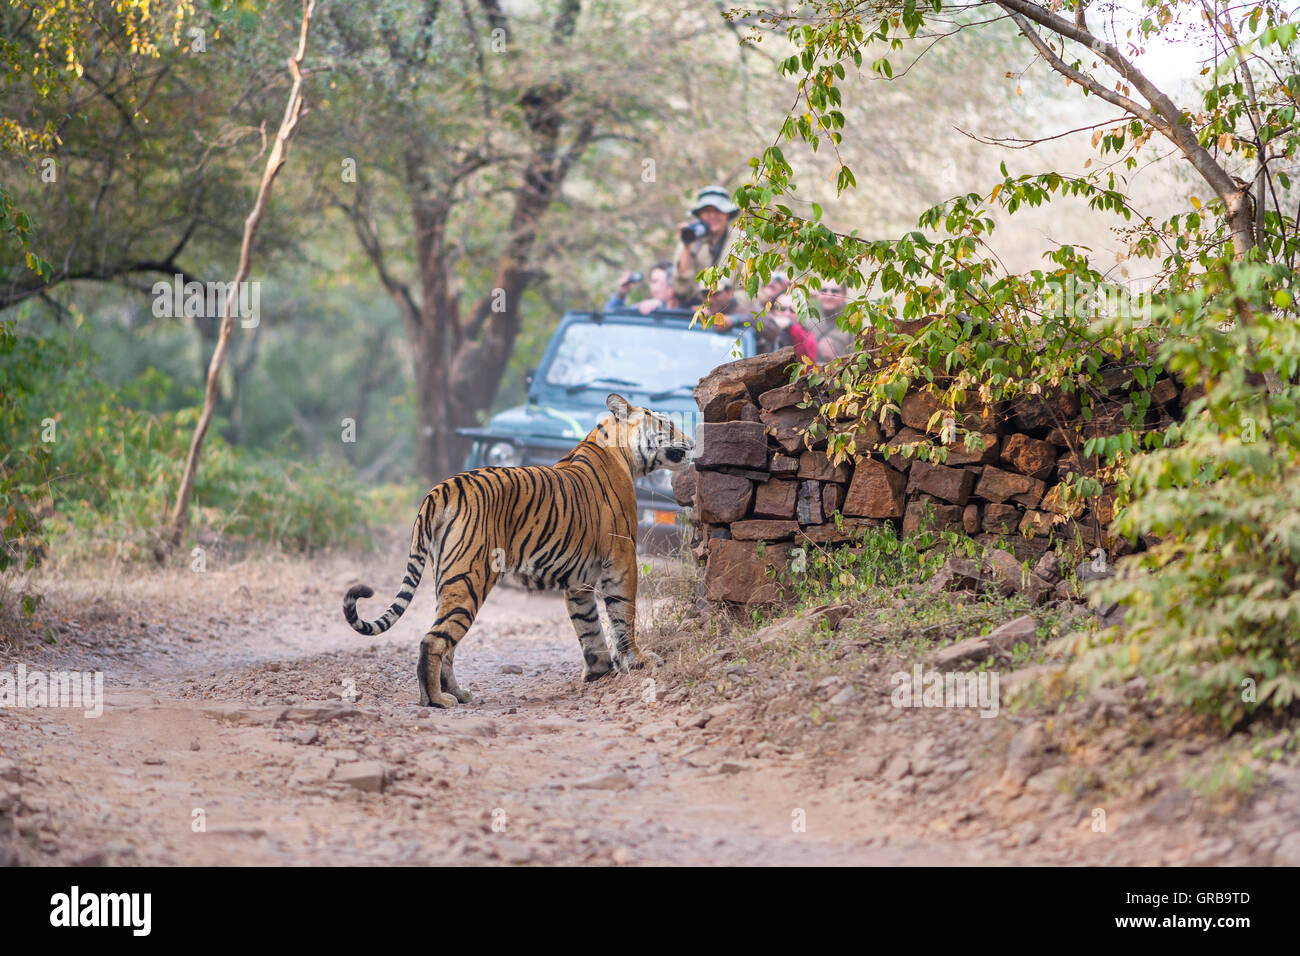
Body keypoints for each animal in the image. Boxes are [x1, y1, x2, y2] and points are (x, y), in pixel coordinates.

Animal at [342, 393, 695, 708]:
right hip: (469, 578)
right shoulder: (622, 559)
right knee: (433, 640)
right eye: (667, 423)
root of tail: (443, 487)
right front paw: (637, 661)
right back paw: (436, 700)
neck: (617, 449)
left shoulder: (579, 579)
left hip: (448, 580)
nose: (692, 443)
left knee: (447, 643)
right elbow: (622, 615)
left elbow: (587, 624)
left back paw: (458, 693)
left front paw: (599, 671)